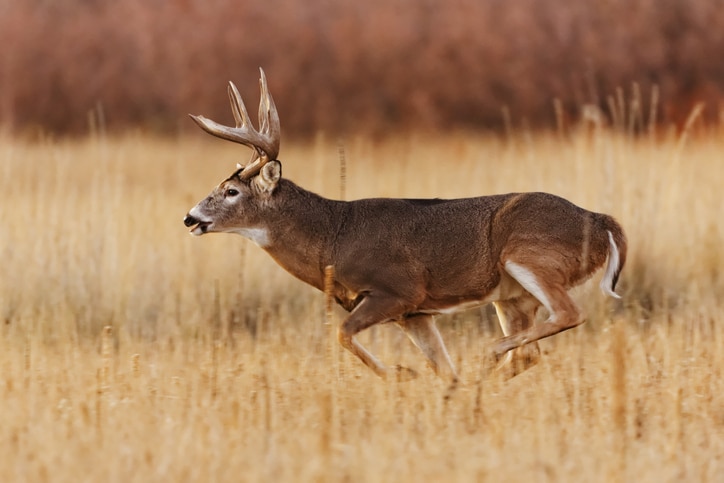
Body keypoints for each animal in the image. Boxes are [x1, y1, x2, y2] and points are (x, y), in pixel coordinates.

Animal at [183, 69, 627, 385]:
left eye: (231, 191)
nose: (190, 218)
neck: (332, 239)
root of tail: (600, 221)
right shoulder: (415, 313)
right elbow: (441, 367)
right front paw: (437, 384)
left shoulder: (398, 289)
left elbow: (342, 332)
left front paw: (402, 374)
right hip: (512, 296)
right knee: (530, 352)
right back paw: (482, 376)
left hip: (530, 257)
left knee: (569, 313)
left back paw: (489, 352)